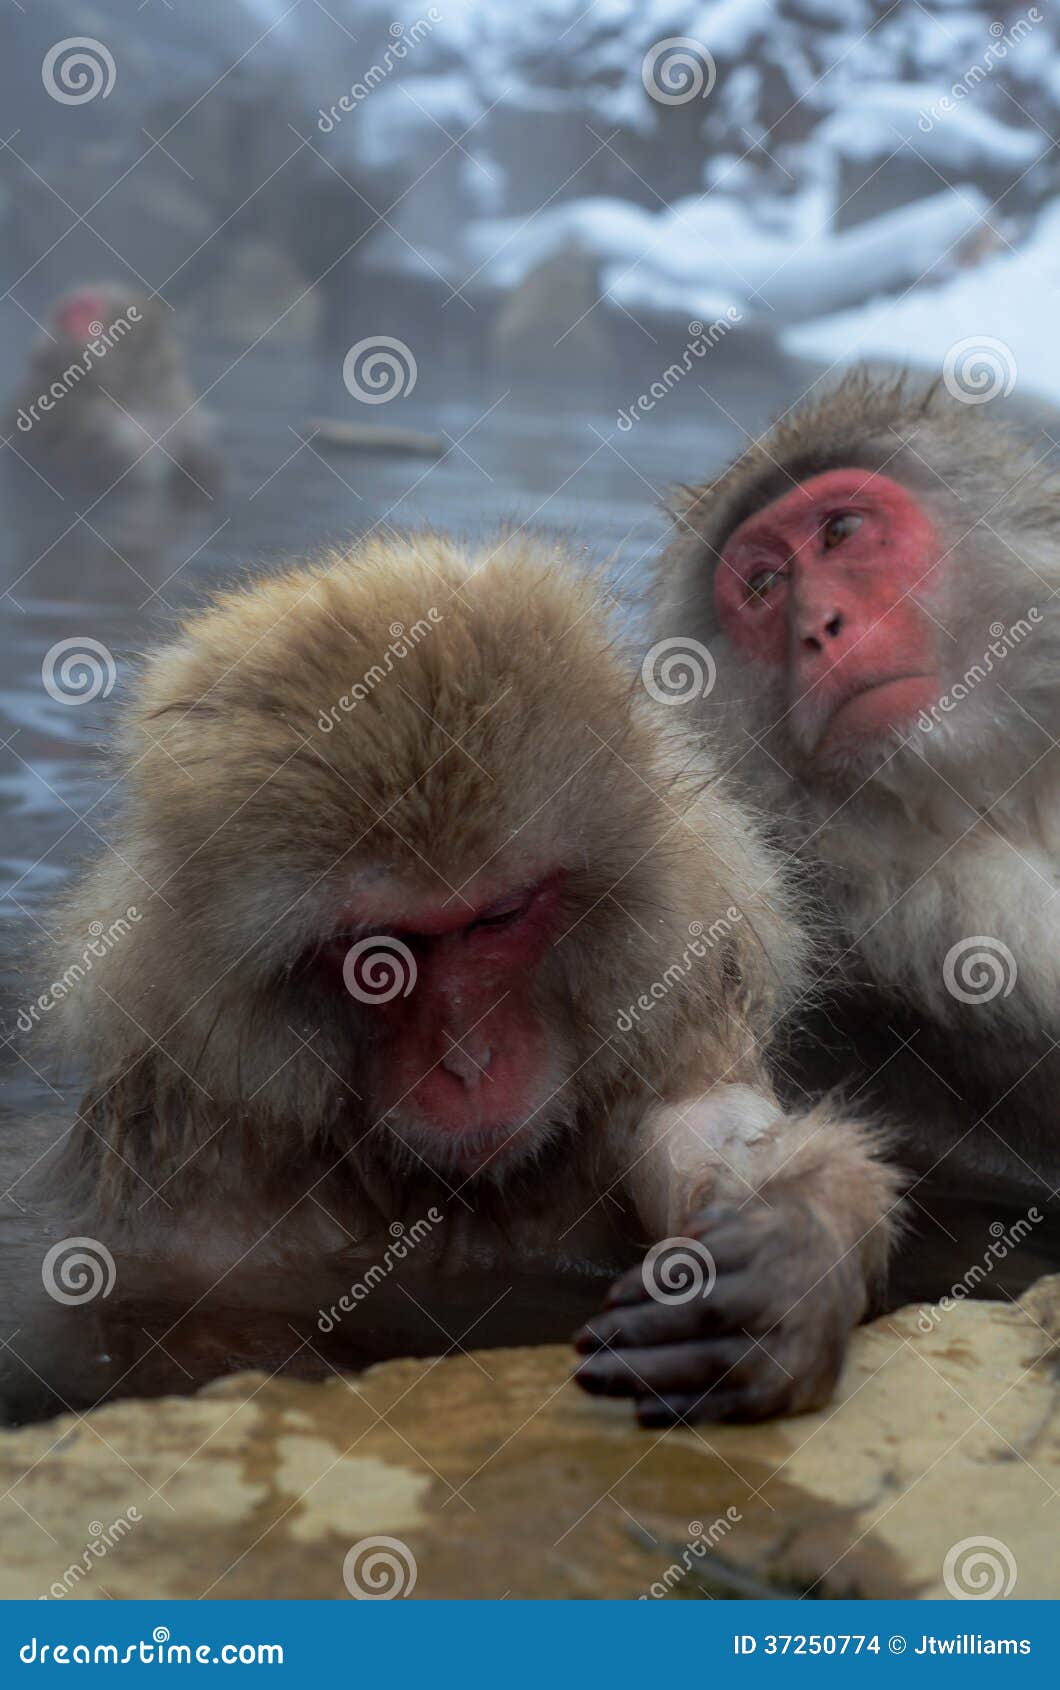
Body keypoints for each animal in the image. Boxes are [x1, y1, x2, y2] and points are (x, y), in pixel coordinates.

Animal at [11, 530, 900, 1428]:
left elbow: (702, 1126)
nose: (468, 1063)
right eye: (379, 956)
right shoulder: (198, 1185)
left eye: (498, 917)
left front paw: (793, 1242)